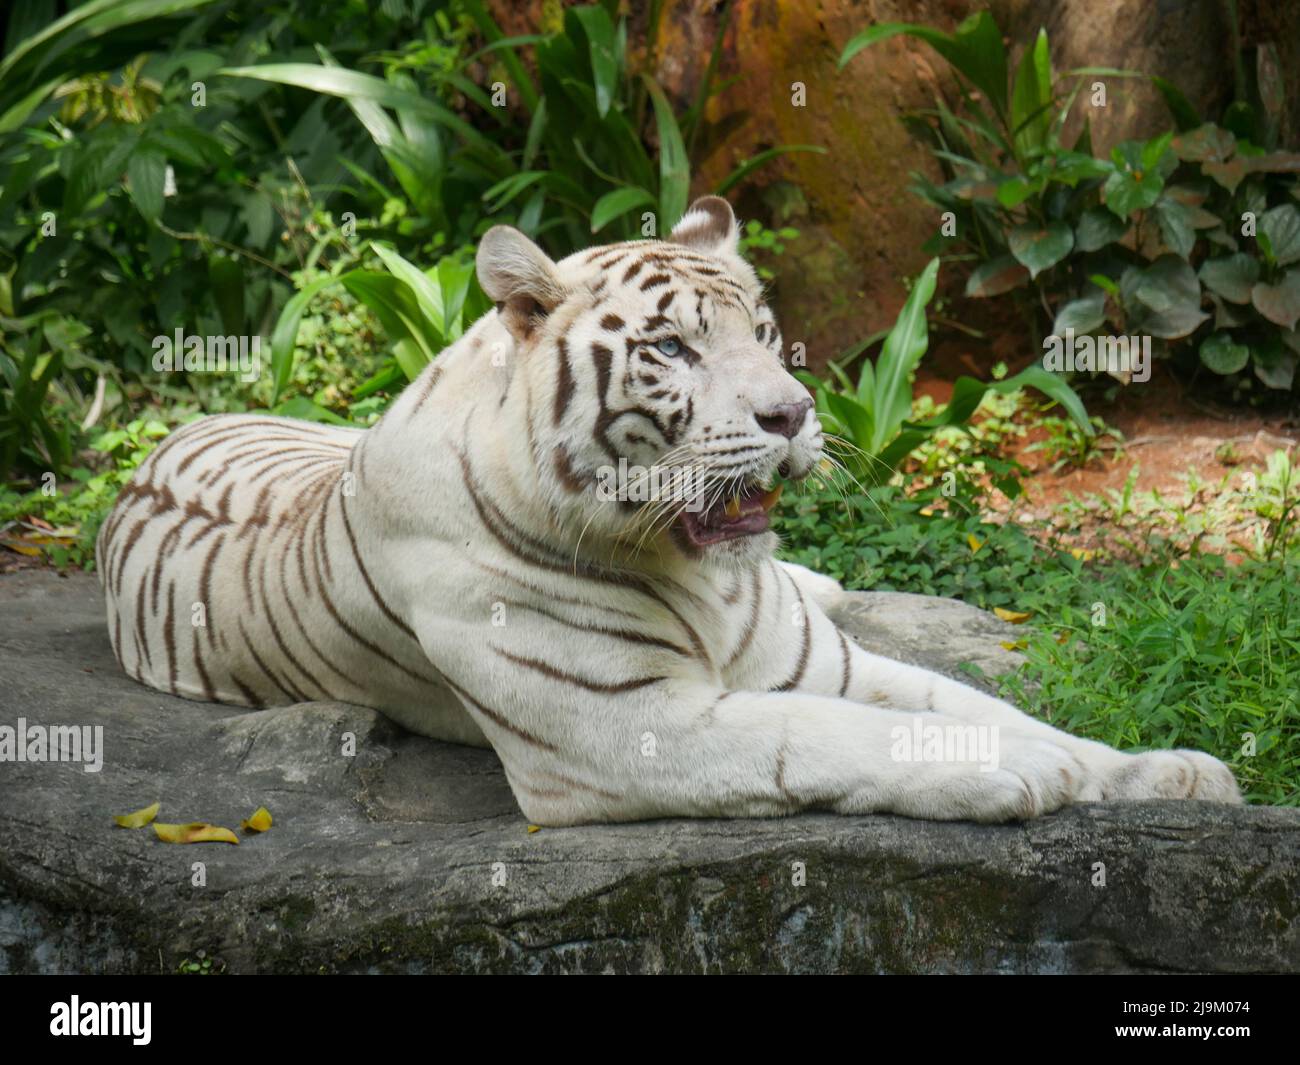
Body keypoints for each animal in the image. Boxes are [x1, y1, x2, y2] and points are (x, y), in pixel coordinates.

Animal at [96, 196, 1241, 825]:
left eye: (766, 330)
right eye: (673, 349)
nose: (793, 414)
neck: (701, 578)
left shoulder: (823, 663)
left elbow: (979, 706)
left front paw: (1171, 774)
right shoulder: (626, 726)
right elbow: (836, 740)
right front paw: (1028, 773)